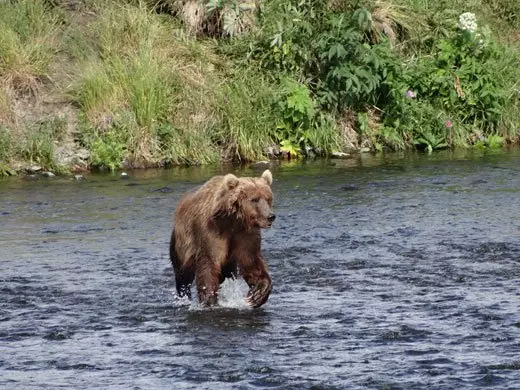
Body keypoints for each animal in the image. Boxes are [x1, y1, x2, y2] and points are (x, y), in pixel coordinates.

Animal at [171, 169, 276, 310]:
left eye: (268, 198)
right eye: (254, 199)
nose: (270, 216)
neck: (233, 220)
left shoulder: (245, 235)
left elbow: (251, 261)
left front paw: (258, 294)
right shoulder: (211, 232)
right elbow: (209, 264)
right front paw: (209, 300)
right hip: (181, 245)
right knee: (183, 275)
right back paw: (184, 296)